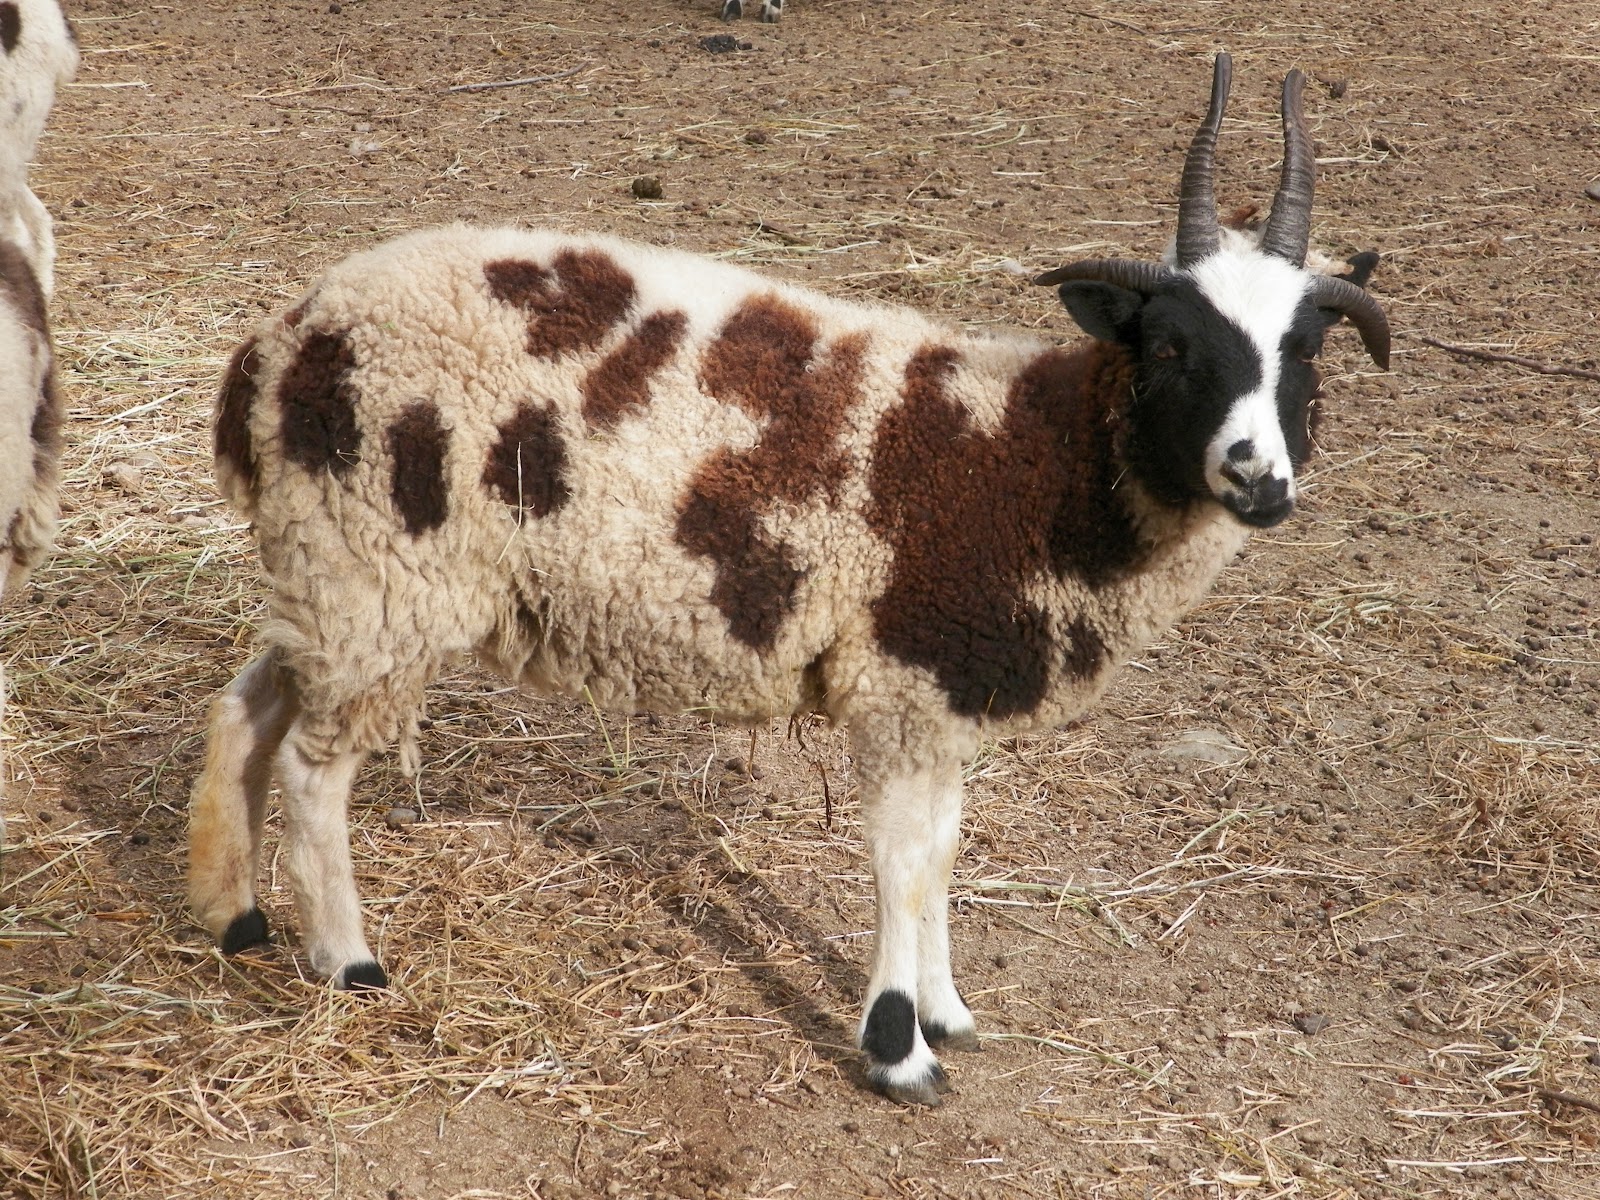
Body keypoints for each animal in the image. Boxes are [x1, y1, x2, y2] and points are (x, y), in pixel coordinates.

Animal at [188, 54, 1390, 1105]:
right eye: (1174, 348)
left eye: (1307, 353)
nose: (1259, 477)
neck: (1027, 455)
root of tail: (275, 346)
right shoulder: (902, 683)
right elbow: (903, 863)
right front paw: (899, 1050)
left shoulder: (939, 693)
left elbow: (943, 851)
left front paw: (948, 1010)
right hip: (376, 570)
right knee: (312, 765)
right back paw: (348, 961)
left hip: (333, 567)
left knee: (250, 706)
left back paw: (236, 917)